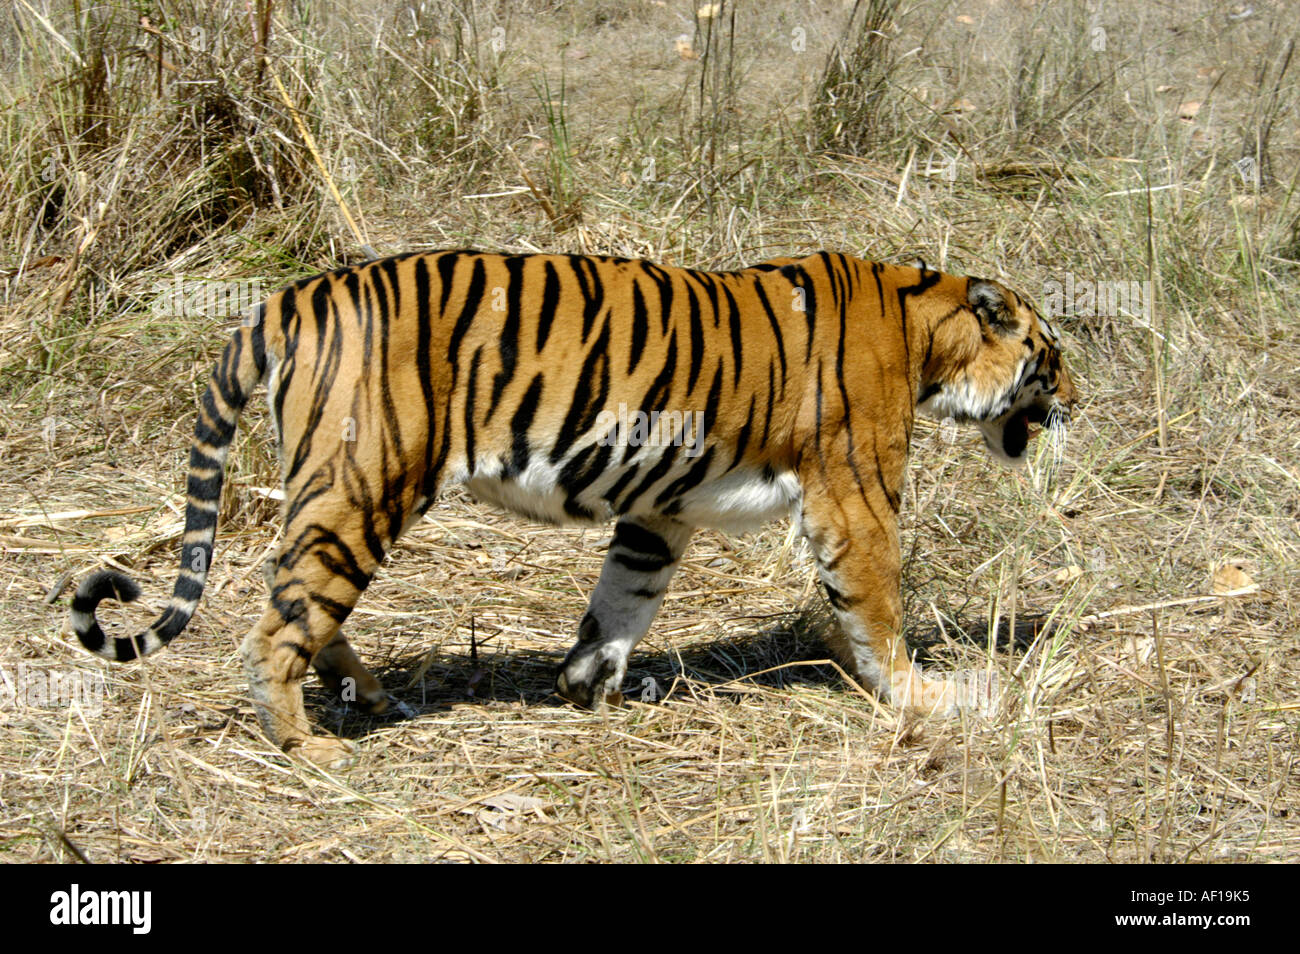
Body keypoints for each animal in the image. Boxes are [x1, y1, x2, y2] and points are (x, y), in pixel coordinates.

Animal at [69, 250, 1078, 768]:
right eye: (1051, 354)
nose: (1078, 396)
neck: (927, 331)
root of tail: (288, 298)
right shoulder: (855, 491)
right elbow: (876, 607)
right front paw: (931, 695)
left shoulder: (661, 509)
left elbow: (622, 600)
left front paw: (593, 686)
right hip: (365, 484)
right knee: (273, 628)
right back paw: (308, 748)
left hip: (338, 495)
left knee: (302, 604)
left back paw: (369, 691)